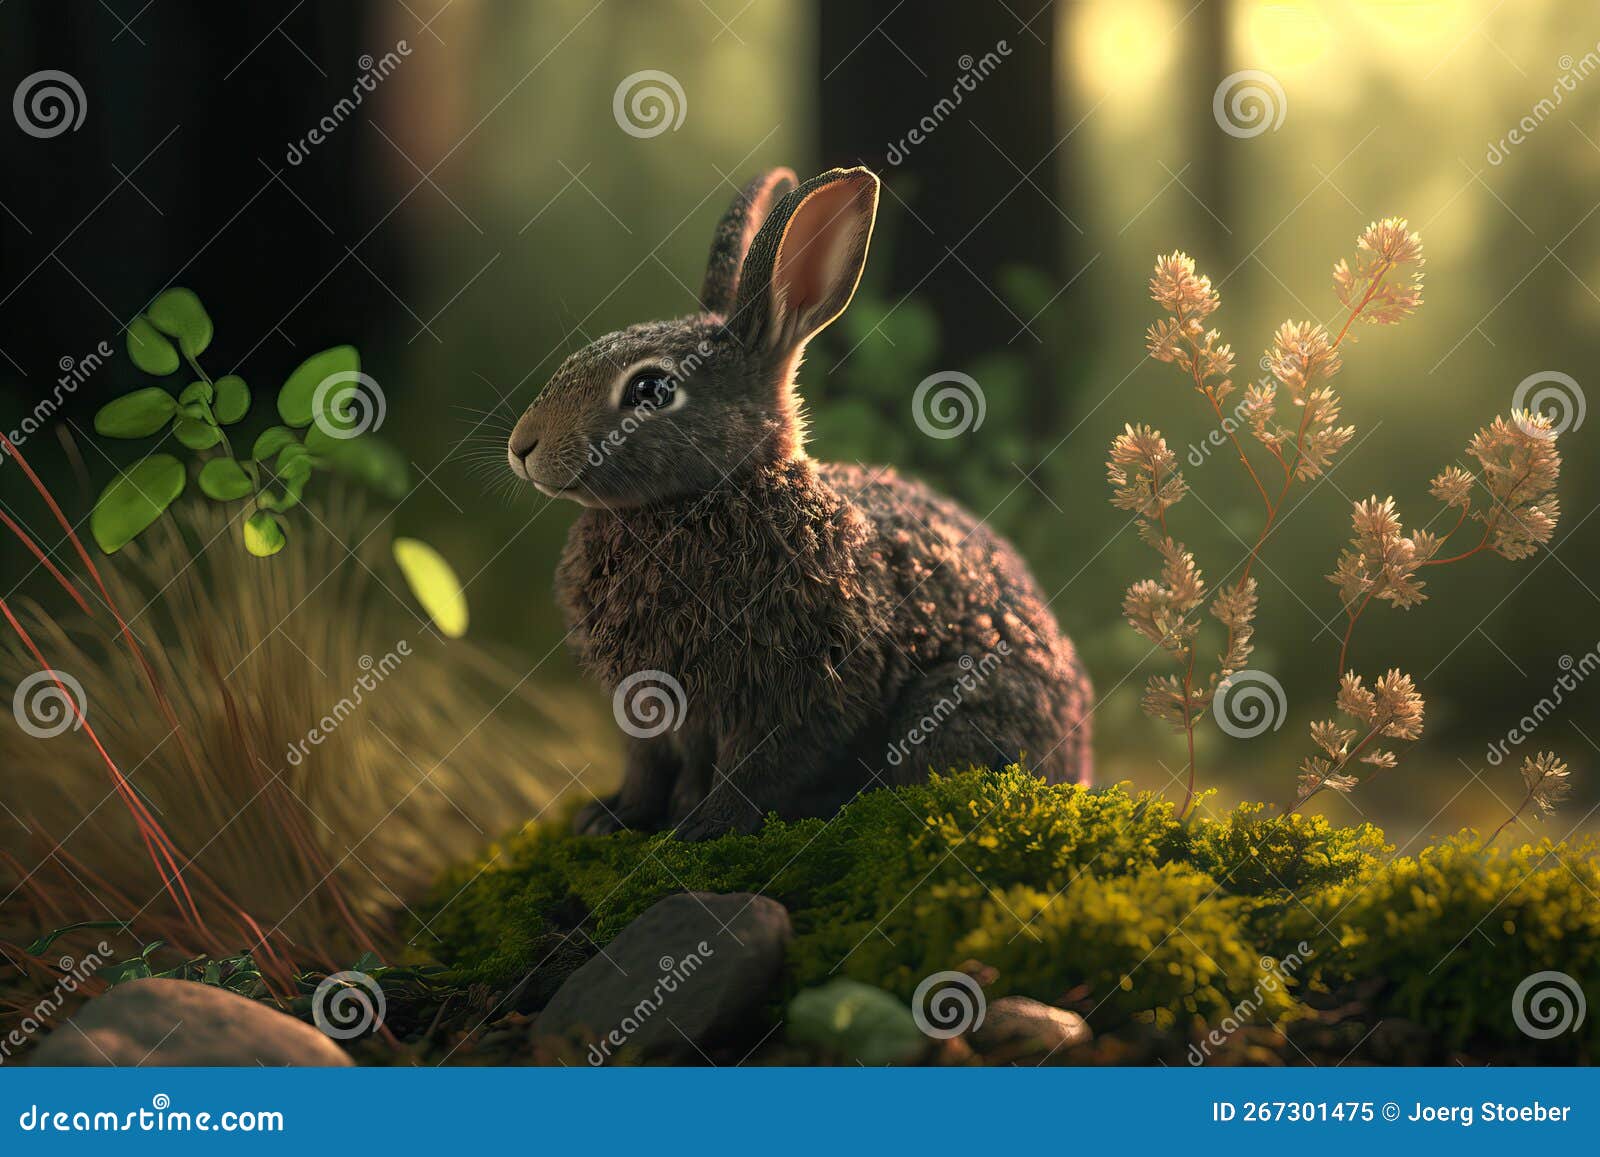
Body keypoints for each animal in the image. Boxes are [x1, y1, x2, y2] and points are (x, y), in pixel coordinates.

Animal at [507, 165, 1092, 840]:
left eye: (651, 389)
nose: (522, 446)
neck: (716, 492)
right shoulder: (648, 707)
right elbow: (646, 766)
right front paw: (612, 818)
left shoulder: (804, 690)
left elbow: (757, 768)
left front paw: (703, 828)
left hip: (955, 709)